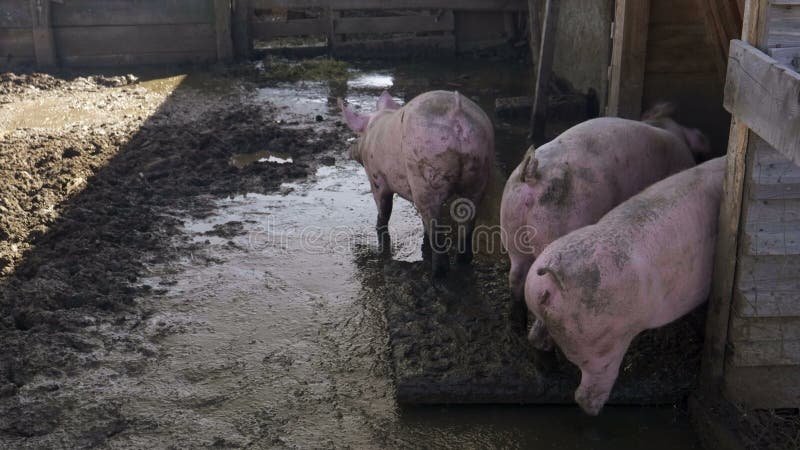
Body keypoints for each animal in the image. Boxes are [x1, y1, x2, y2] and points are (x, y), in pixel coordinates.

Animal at [339, 90, 494, 276]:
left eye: (358, 134)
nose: (348, 151)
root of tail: (456, 113)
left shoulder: (377, 178)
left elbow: (384, 211)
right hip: (481, 167)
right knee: (467, 222)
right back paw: (462, 263)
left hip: (426, 172)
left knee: (436, 231)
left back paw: (435, 274)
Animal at [524, 156, 726, 415]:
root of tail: (553, 274)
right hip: (600, 343)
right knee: (586, 395)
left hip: (540, 301)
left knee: (536, 338)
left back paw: (549, 371)